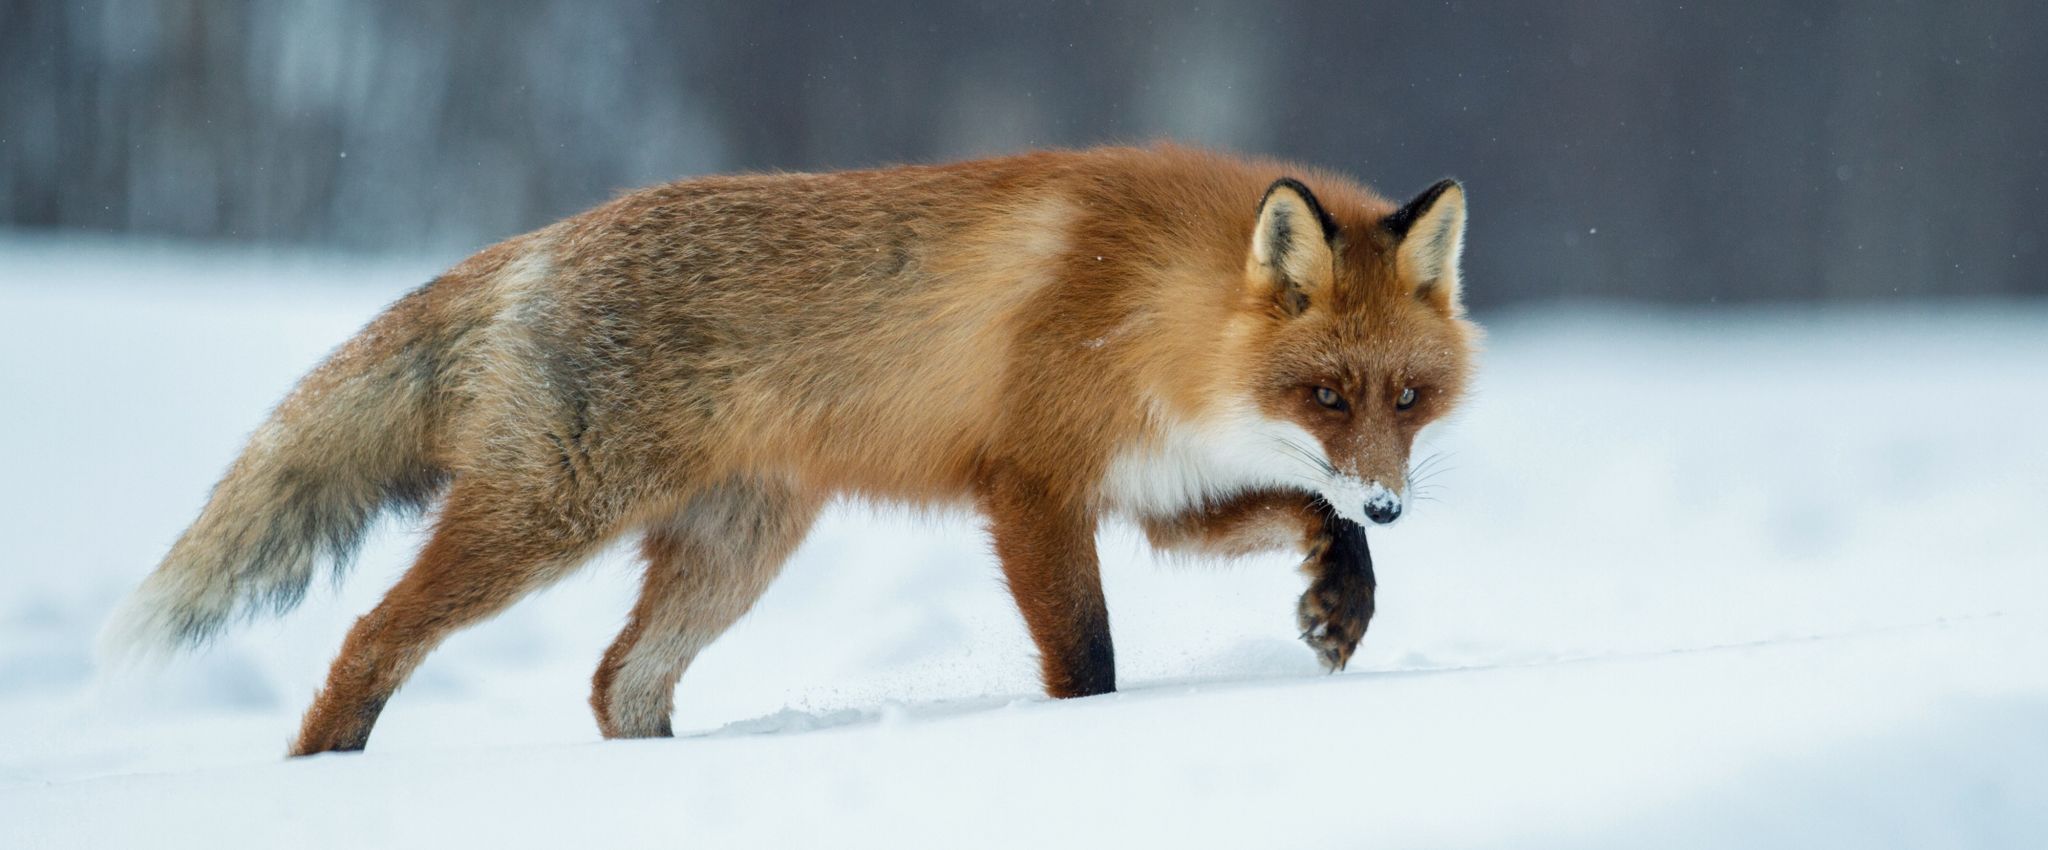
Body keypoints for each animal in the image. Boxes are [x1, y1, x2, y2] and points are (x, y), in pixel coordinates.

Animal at [103, 144, 1478, 756]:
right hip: (548, 520)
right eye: (1323, 392)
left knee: (619, 684)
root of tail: (538, 243)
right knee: (376, 636)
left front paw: (1341, 601)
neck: (1152, 308)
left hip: (732, 555)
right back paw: (320, 783)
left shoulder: (1155, 493)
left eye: (1407, 397)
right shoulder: (1032, 488)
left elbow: (1308, 515)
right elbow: (1085, 662)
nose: (1398, 504)